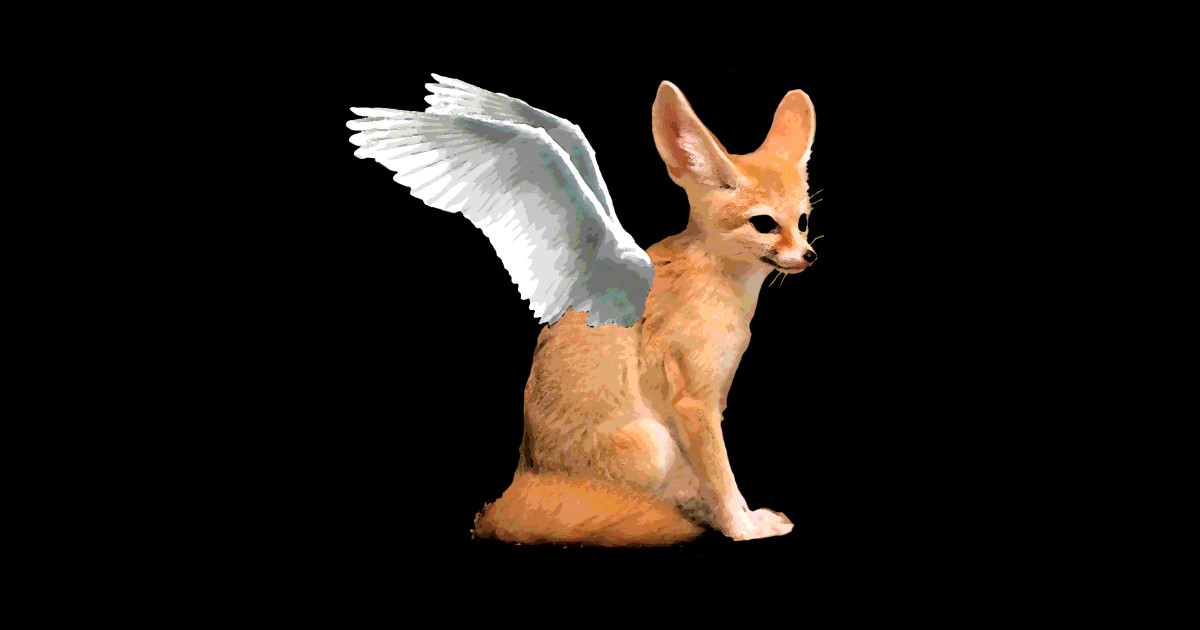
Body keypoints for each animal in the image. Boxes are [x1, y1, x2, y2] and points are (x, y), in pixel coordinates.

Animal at [348, 76, 818, 545]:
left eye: (803, 221)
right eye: (764, 224)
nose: (809, 256)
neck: (722, 283)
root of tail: (521, 481)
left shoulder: (715, 397)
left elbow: (714, 478)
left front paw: (737, 516)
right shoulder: (692, 403)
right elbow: (721, 478)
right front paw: (741, 527)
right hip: (654, 443)